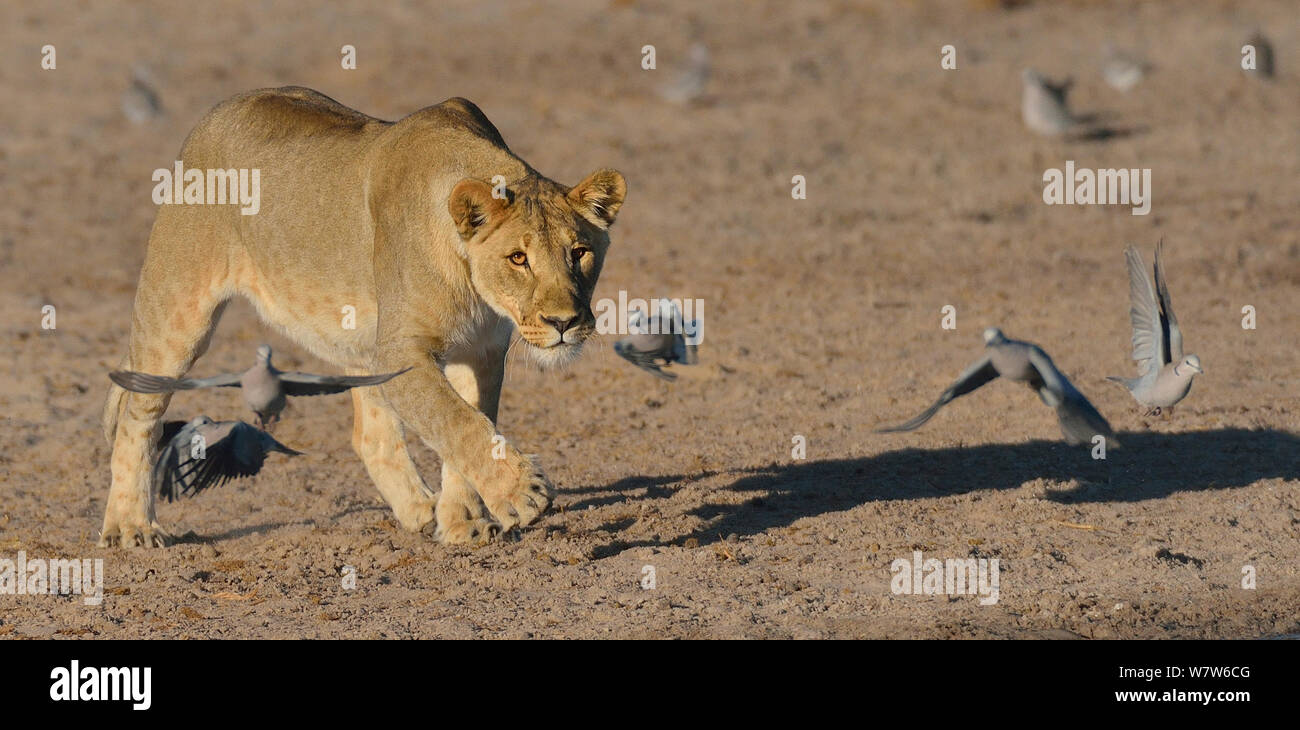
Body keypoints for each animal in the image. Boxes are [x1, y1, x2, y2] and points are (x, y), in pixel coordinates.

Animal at [100, 87, 626, 547]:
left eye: (579, 252)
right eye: (518, 258)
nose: (563, 322)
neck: (475, 284)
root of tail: (213, 115)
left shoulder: (481, 350)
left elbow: (468, 423)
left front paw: (463, 522)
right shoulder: (400, 349)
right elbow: (458, 421)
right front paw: (520, 494)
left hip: (359, 341)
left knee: (370, 435)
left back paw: (421, 510)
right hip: (176, 314)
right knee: (136, 414)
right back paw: (130, 527)